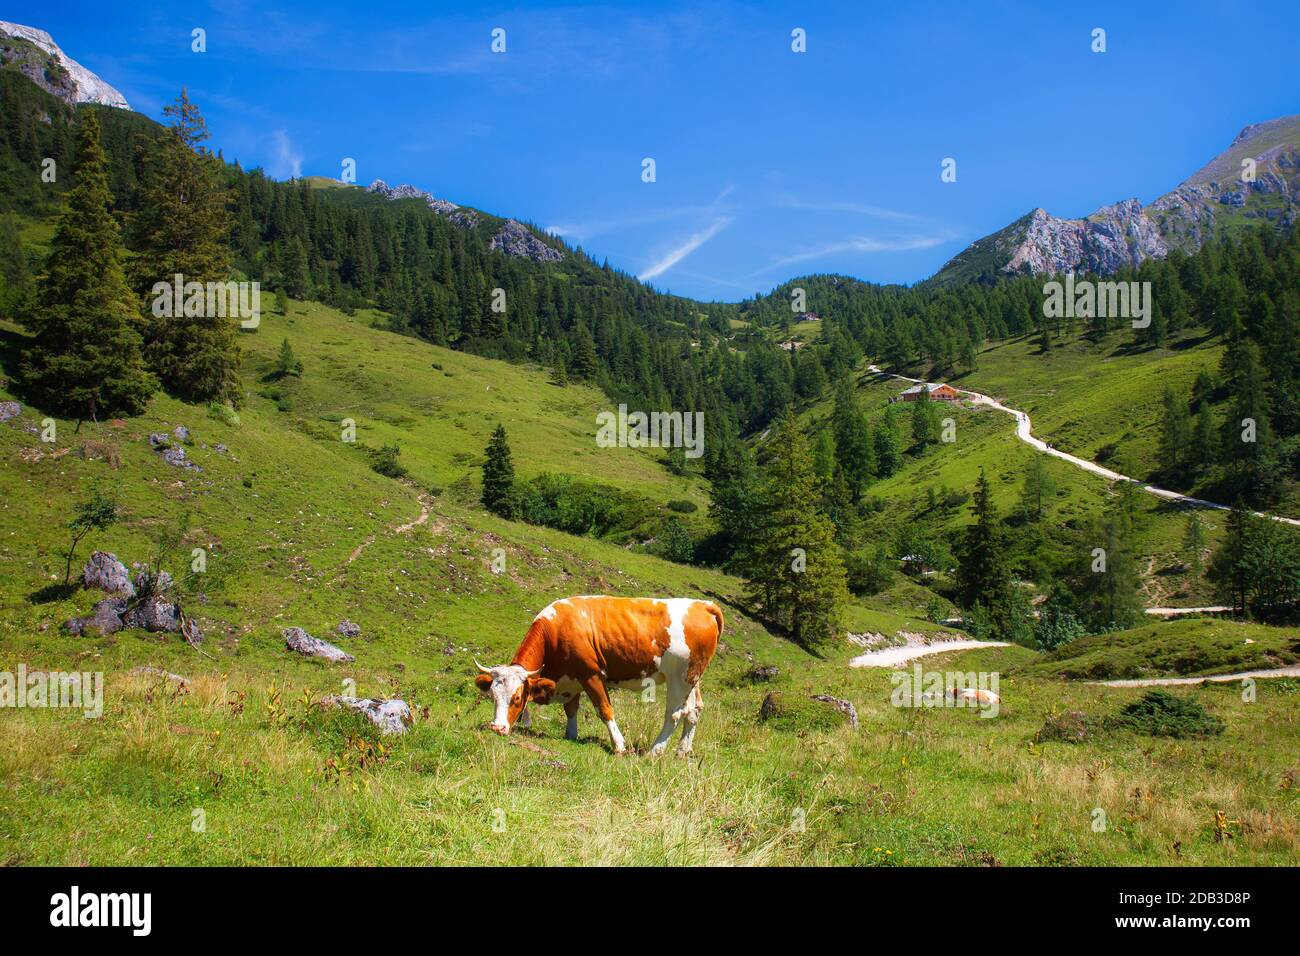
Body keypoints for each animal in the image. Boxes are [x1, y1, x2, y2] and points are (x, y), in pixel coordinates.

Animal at [474, 596, 722, 756]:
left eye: (516, 698)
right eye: (493, 696)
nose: (496, 728)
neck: (555, 633)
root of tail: (703, 605)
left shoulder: (590, 674)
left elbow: (604, 709)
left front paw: (619, 745)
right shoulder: (572, 678)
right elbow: (571, 708)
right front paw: (571, 735)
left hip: (679, 679)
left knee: (674, 714)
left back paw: (654, 751)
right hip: (692, 678)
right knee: (694, 710)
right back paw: (682, 751)